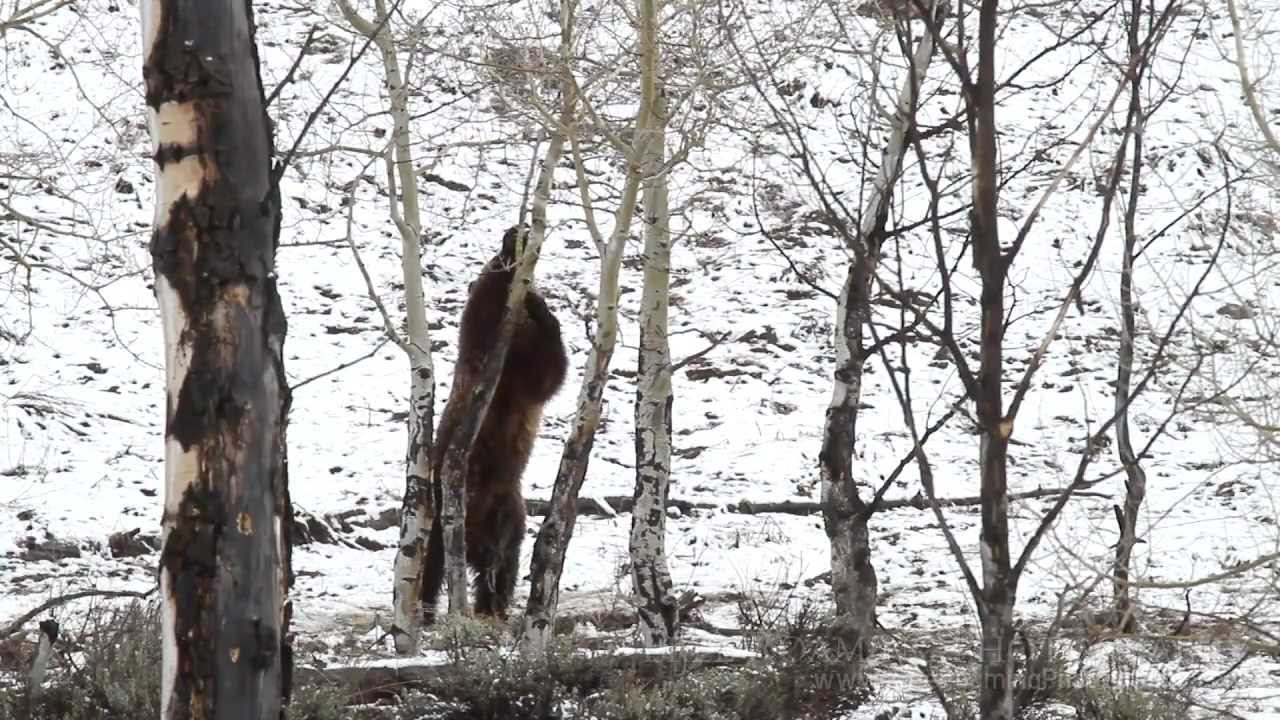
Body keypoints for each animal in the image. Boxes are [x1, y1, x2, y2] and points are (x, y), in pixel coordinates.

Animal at [420, 224, 568, 623]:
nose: (515, 230)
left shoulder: (524, 380)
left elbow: (548, 374)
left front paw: (540, 304)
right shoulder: (489, 362)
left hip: (509, 507)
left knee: (506, 563)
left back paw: (494, 605)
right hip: (448, 502)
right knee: (433, 561)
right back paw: (427, 608)